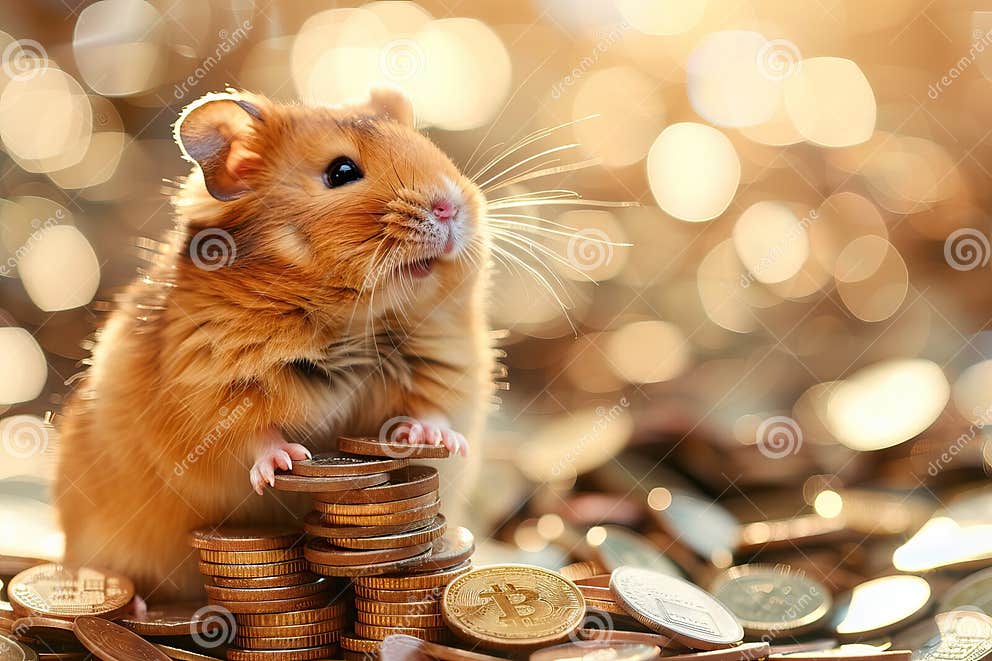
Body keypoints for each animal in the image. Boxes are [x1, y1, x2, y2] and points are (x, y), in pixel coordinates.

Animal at [53, 86, 493, 601]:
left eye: (427, 147)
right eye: (341, 172)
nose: (449, 207)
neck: (354, 319)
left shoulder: (442, 367)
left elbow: (431, 409)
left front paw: (438, 440)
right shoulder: (209, 395)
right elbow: (252, 436)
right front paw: (288, 463)